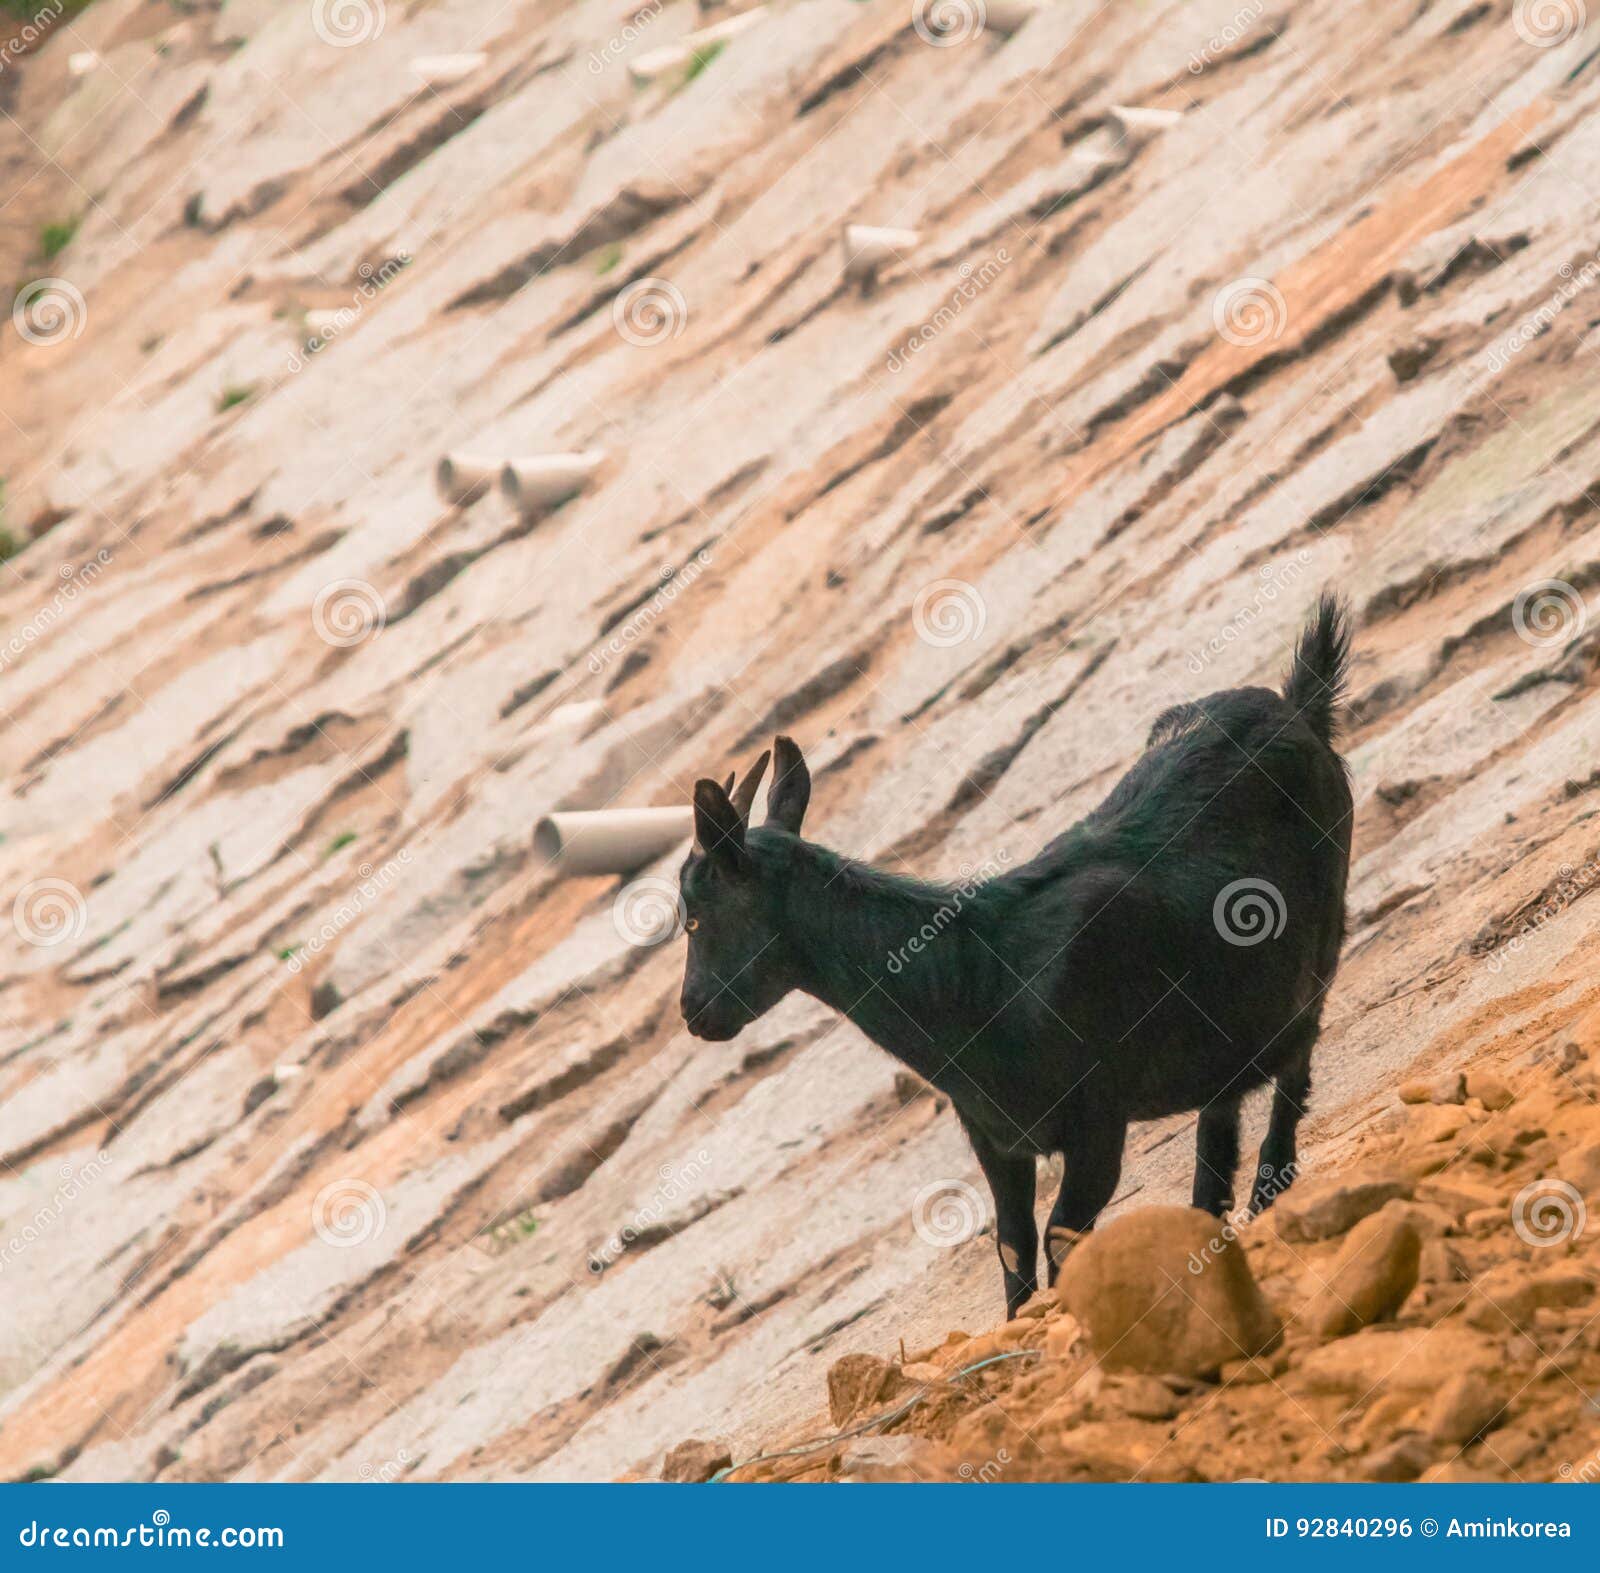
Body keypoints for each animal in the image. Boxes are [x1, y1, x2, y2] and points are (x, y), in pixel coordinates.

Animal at [678, 595, 1354, 1317]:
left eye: (692, 915)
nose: (693, 1012)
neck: (978, 980)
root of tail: (1300, 705)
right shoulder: (994, 1137)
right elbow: (1013, 1244)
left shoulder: (1097, 1116)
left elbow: (1063, 1238)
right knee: (1222, 1111)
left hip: (1319, 940)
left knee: (1295, 1060)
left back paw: (1269, 1190)